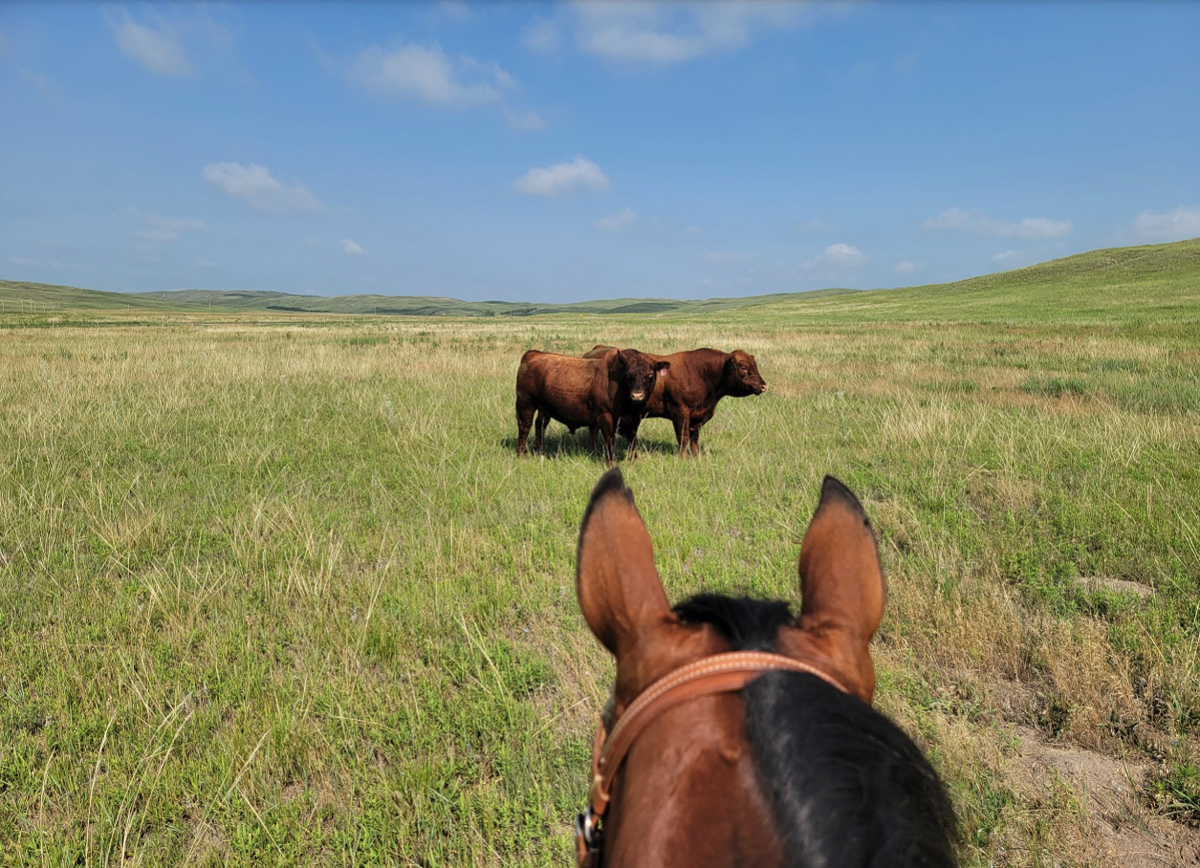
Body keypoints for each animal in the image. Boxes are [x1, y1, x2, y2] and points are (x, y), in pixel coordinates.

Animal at [515, 348, 669, 465]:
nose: (637, 395)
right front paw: (612, 463)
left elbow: (632, 440)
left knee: (540, 425)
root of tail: (533, 354)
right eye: (628, 374)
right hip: (526, 404)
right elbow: (610, 440)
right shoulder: (605, 417)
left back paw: (540, 452)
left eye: (650, 375)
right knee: (525, 427)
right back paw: (521, 454)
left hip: (544, 408)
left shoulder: (634, 419)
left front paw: (634, 460)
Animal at [584, 344, 767, 457]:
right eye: (743, 367)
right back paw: (593, 449)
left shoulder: (697, 417)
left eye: (755, 366)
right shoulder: (680, 413)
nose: (763, 386)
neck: (701, 373)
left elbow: (694, 439)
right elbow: (683, 437)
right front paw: (682, 457)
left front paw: (695, 456)